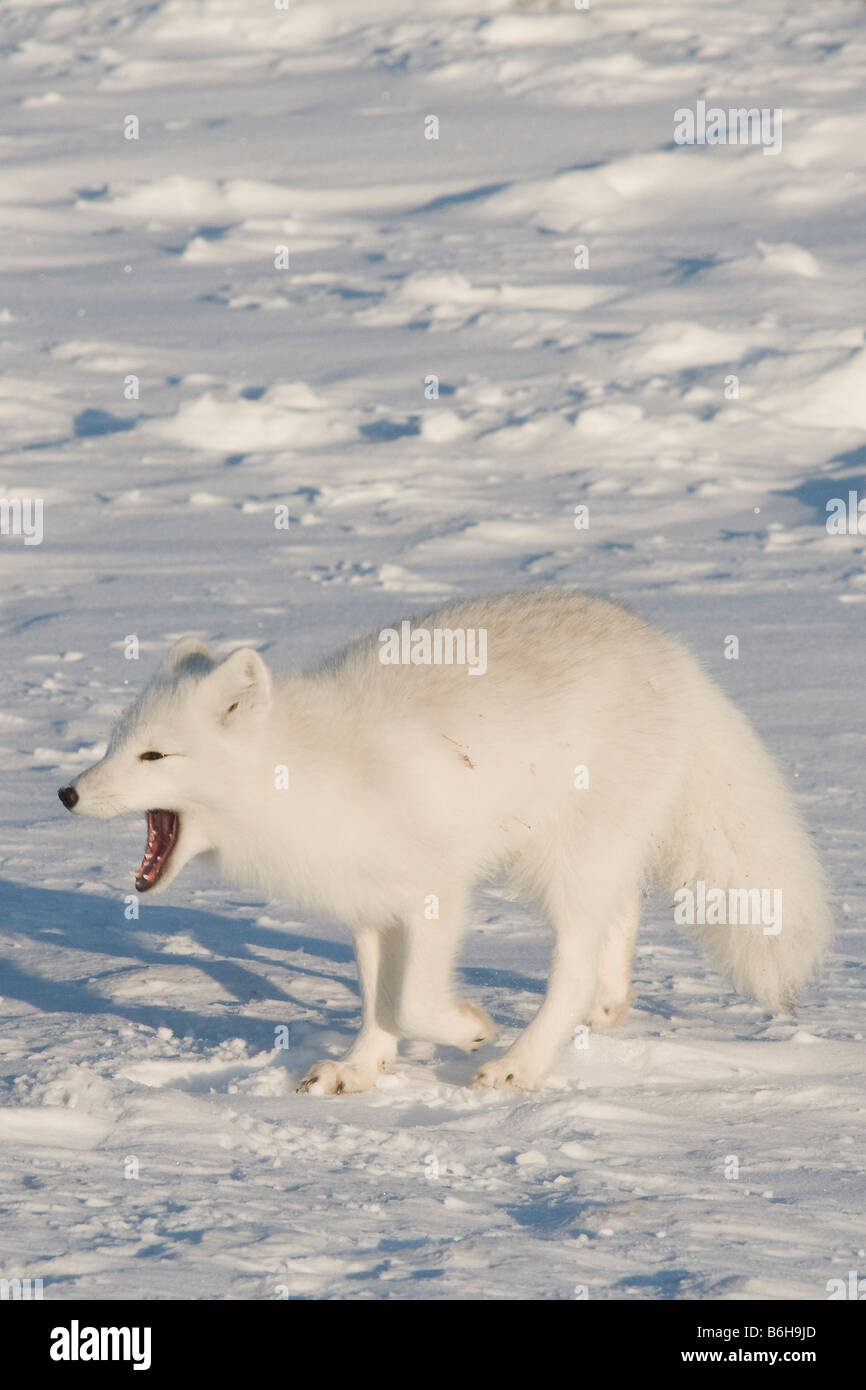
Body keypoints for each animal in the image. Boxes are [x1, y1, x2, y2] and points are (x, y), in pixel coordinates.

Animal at [58, 590, 832, 1095]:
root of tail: (675, 657)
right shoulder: (369, 908)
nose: (66, 794)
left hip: (560, 864)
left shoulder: (435, 894)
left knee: (575, 966)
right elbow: (378, 1002)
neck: (308, 775)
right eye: (115, 745)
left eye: (155, 757)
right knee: (622, 914)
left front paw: (468, 1028)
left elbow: (410, 1003)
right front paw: (362, 1070)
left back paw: (520, 1064)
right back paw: (610, 1007)